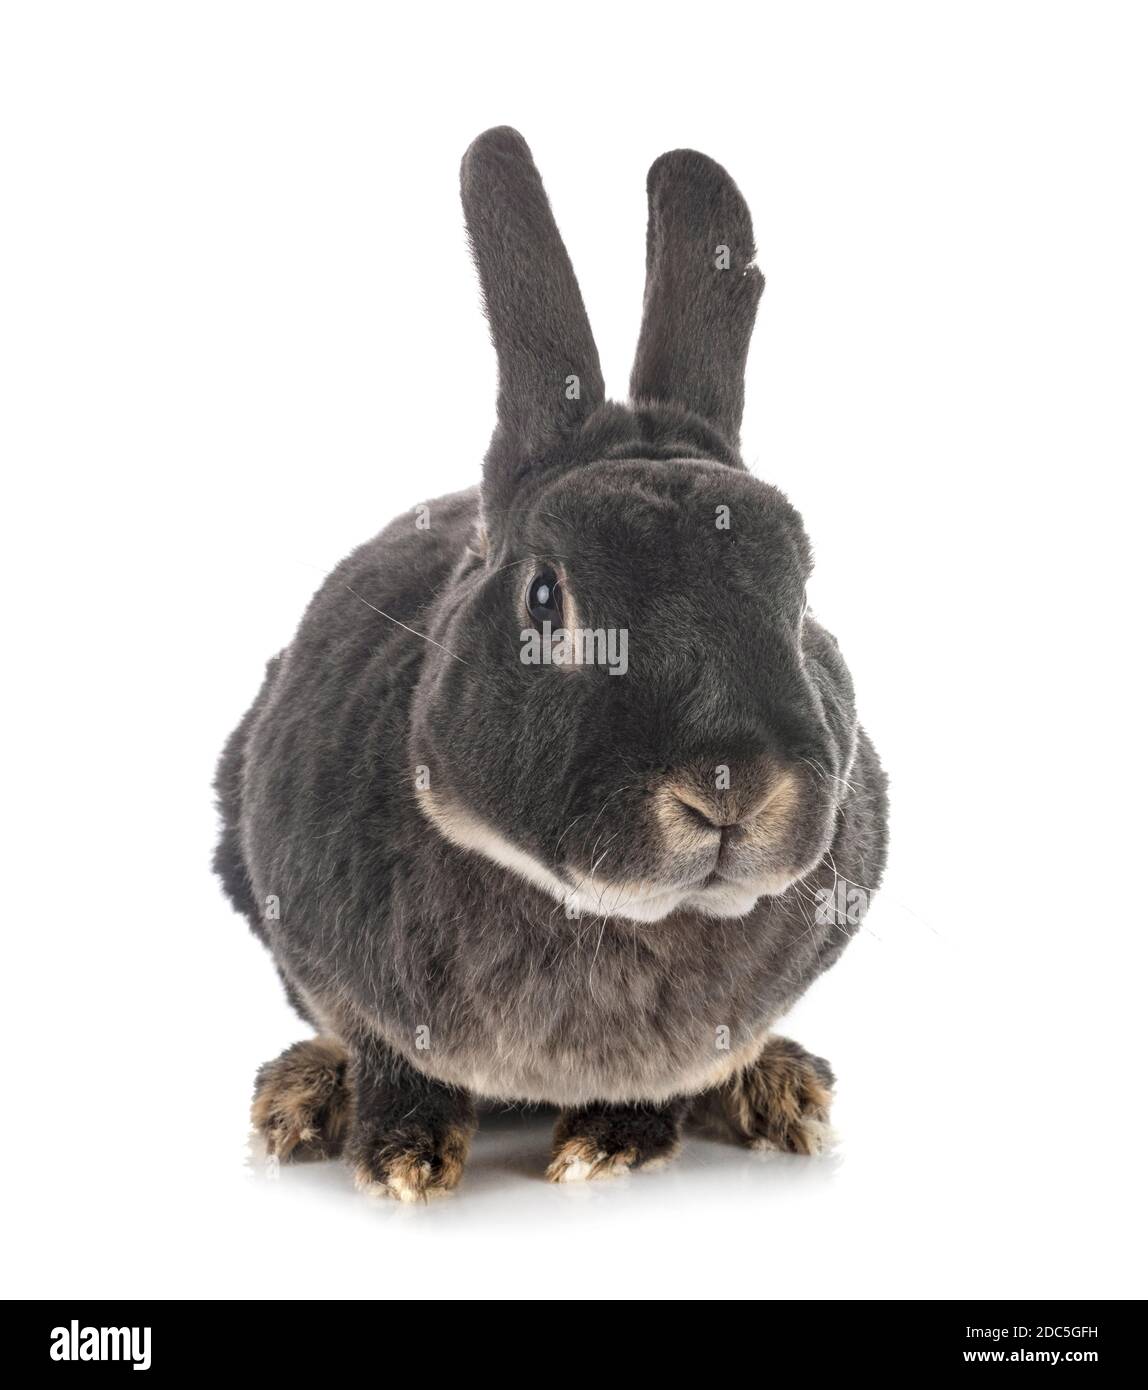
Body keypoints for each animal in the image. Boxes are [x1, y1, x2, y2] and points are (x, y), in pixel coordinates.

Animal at [214, 126, 889, 1200]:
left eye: (800, 601)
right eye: (544, 599)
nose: (731, 782)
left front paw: (613, 1144)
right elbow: (393, 1056)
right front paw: (401, 1159)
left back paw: (780, 1091)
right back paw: (302, 1098)